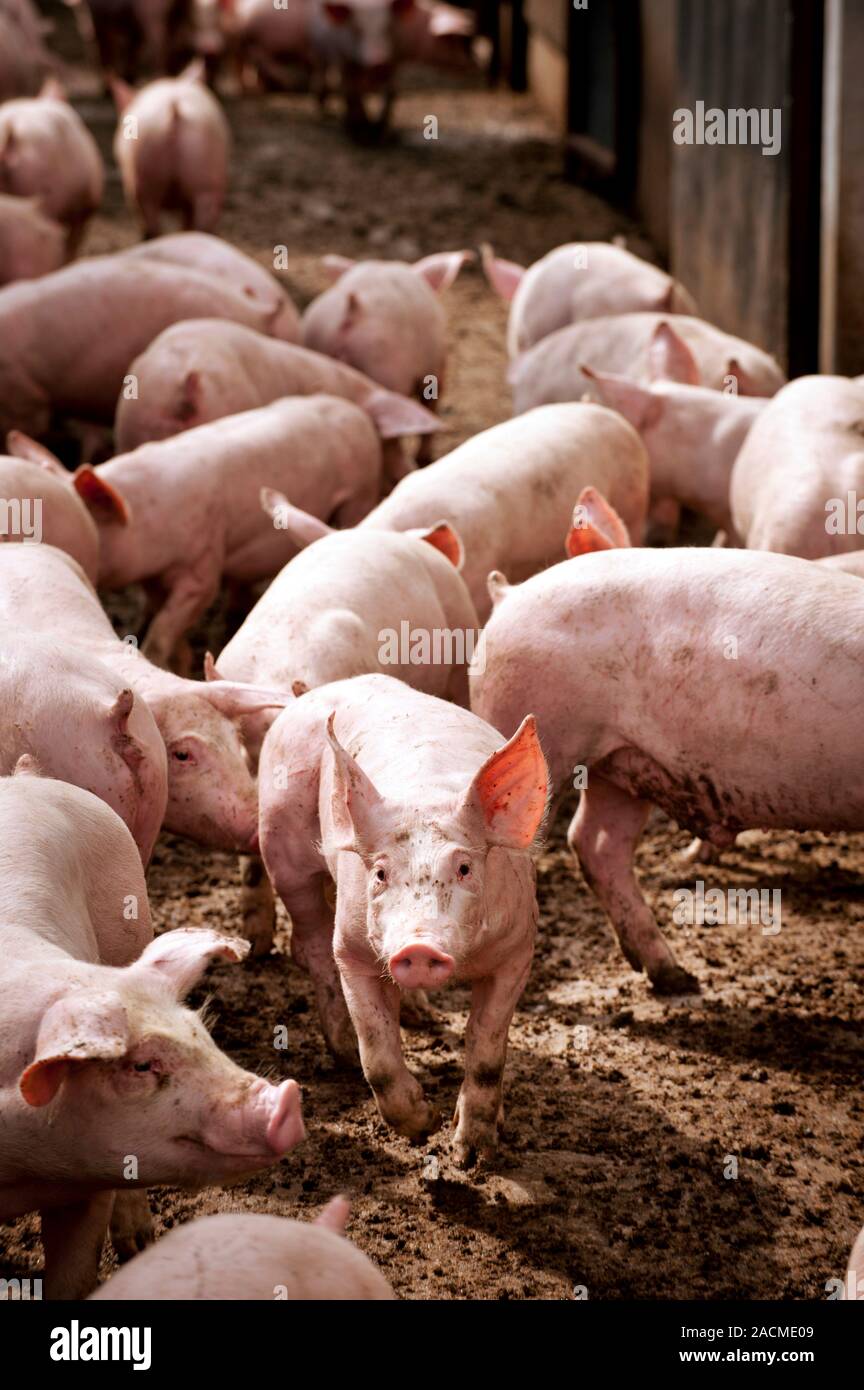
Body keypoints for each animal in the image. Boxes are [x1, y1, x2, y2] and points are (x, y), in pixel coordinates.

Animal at [0, 767, 304, 1298]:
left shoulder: (88, 1188)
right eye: (141, 1065)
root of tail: (26, 774)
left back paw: (138, 1244)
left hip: (132, 919)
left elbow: (75, 1275)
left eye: (203, 1034)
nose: (286, 1098)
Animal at [257, 672, 549, 1162]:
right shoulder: (352, 948)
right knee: (310, 943)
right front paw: (422, 1126)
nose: (418, 946)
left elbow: (487, 1050)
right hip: (280, 844)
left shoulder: (518, 949)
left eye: (464, 867)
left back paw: (420, 1015)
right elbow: (376, 1052)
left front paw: (472, 1153)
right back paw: (341, 1050)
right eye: (380, 873)